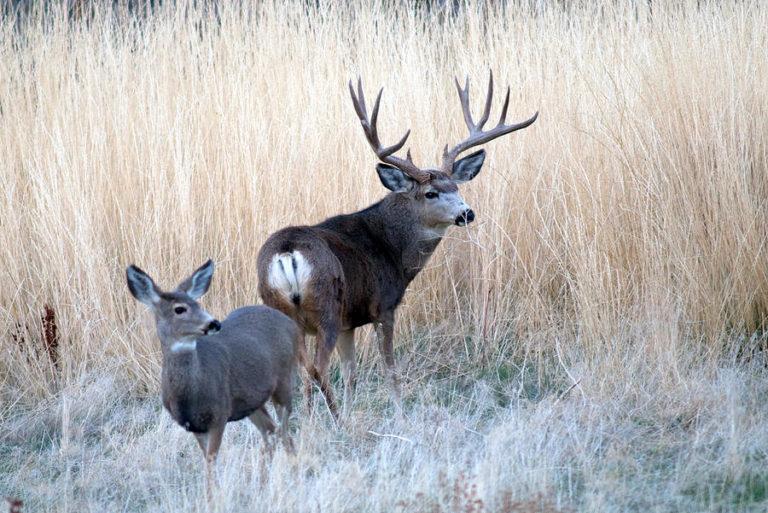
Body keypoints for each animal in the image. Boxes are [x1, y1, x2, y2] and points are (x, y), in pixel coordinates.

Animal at [125, 259, 299, 479]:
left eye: (198, 304)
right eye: (179, 309)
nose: (214, 323)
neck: (192, 394)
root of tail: (290, 323)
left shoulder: (219, 414)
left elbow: (211, 459)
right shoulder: (194, 425)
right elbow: (207, 460)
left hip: (284, 380)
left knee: (283, 432)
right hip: (251, 401)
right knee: (271, 431)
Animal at [256, 73, 537, 416]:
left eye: (456, 187)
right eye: (430, 193)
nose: (467, 213)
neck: (393, 250)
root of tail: (288, 252)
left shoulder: (350, 321)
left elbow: (350, 375)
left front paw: (351, 414)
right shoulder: (383, 306)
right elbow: (389, 369)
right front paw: (399, 412)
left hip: (285, 311)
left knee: (301, 374)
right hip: (326, 308)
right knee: (317, 371)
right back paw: (330, 420)